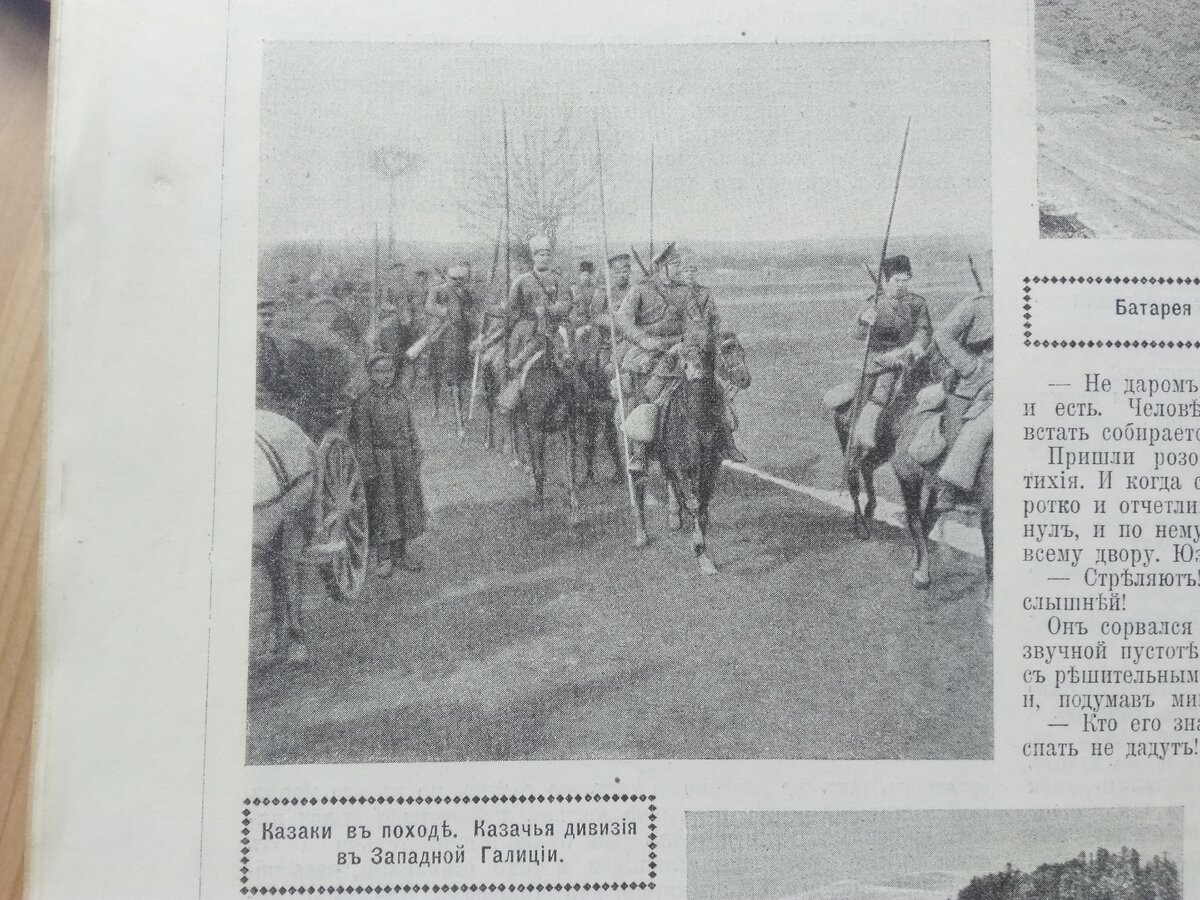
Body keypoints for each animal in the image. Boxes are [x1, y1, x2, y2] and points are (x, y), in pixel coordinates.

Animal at [628, 333, 748, 578]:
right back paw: (641, 535)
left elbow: (702, 505)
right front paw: (702, 556)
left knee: (669, 480)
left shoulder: (710, 466)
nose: (744, 378)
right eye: (724, 349)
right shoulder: (682, 465)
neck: (697, 418)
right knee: (639, 481)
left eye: (739, 348)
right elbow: (694, 503)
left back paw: (674, 518)